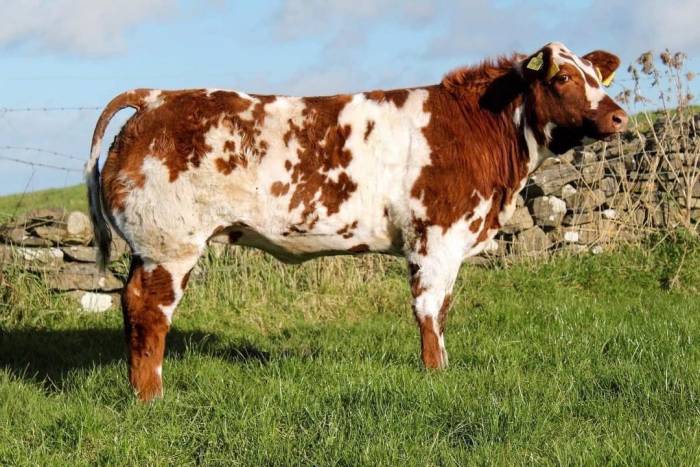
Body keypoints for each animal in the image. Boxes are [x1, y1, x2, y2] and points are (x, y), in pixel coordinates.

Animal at [86, 42, 627, 401]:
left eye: (597, 78)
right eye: (563, 79)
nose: (620, 117)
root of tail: (158, 97)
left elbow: (443, 310)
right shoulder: (436, 237)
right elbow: (430, 311)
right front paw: (436, 376)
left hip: (151, 246)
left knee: (131, 304)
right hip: (170, 243)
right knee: (148, 309)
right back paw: (151, 395)